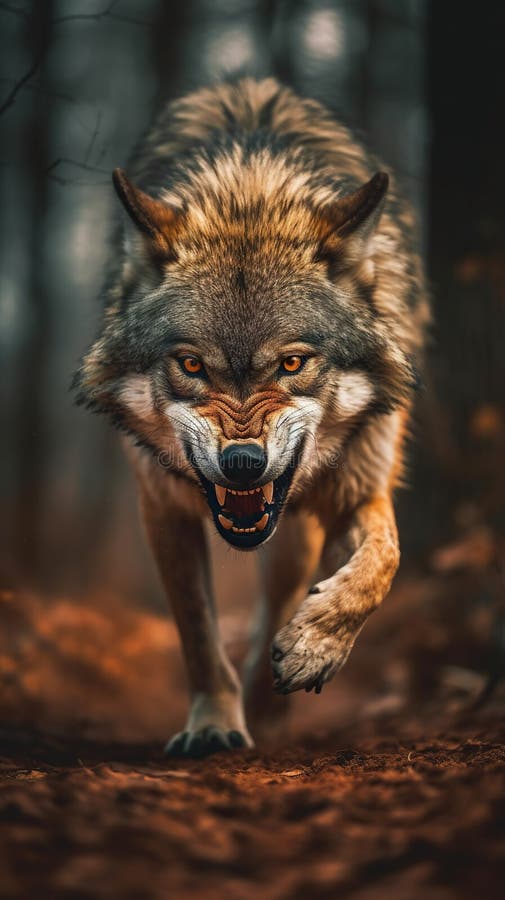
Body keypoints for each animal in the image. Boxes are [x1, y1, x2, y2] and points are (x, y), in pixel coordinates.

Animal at [74, 77, 429, 757]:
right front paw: (213, 722)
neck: (250, 193)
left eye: (292, 363)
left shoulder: (357, 487)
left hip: (298, 533)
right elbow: (195, 630)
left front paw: (313, 648)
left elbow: (383, 564)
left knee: (283, 594)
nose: (242, 463)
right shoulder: (161, 509)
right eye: (190, 364)